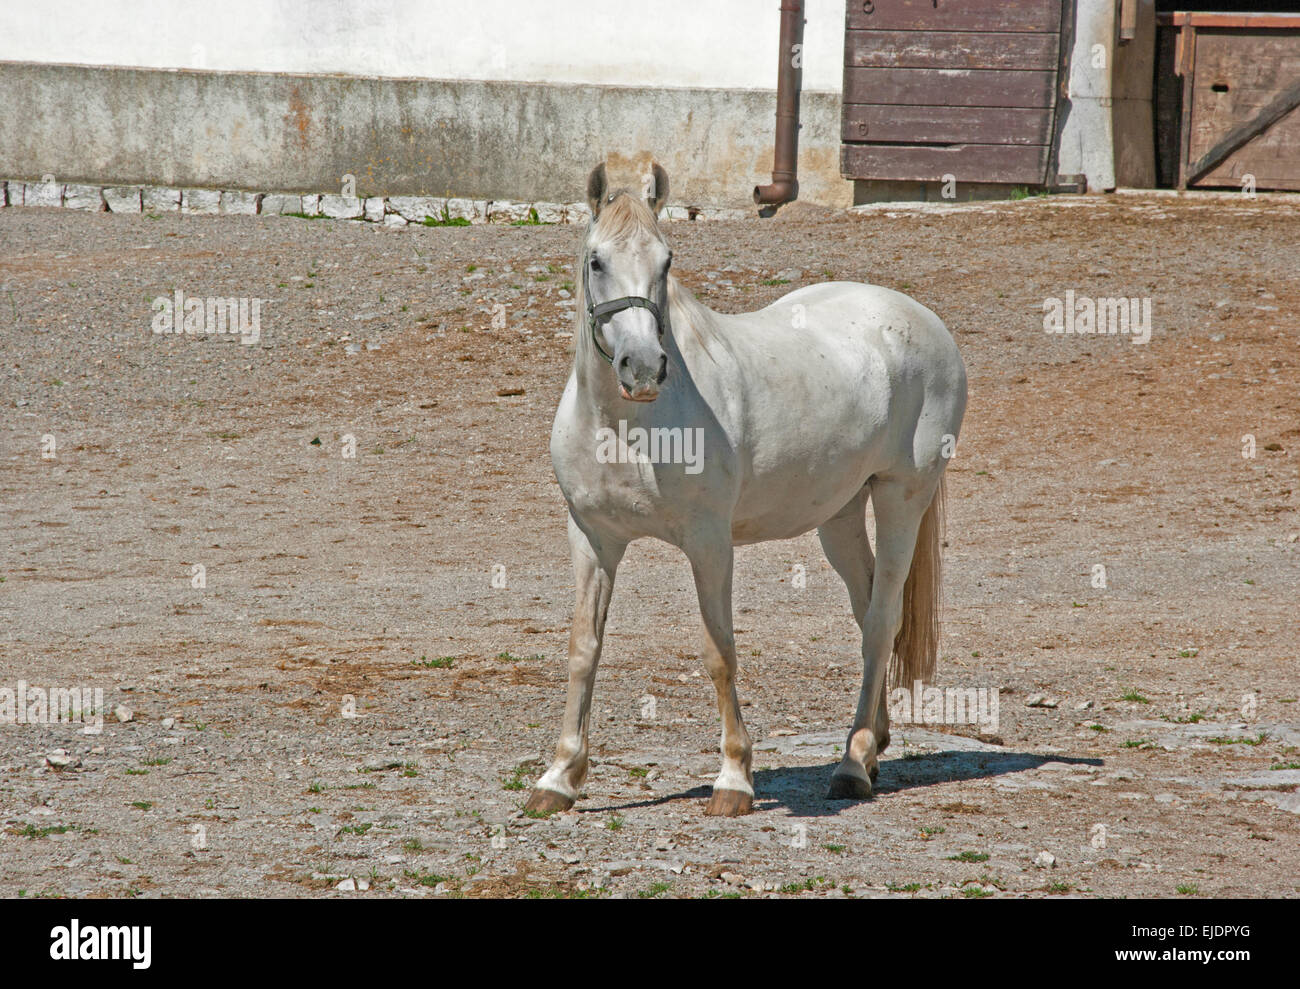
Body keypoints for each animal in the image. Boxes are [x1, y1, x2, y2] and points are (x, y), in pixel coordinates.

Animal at [526, 161, 967, 817]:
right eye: (596, 260)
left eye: (666, 260)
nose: (643, 367)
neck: (627, 427)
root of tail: (922, 320)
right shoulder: (593, 538)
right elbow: (584, 647)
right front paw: (559, 777)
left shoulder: (709, 542)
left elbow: (719, 651)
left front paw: (734, 779)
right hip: (839, 514)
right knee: (867, 611)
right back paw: (872, 747)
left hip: (900, 498)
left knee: (882, 618)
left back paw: (852, 765)